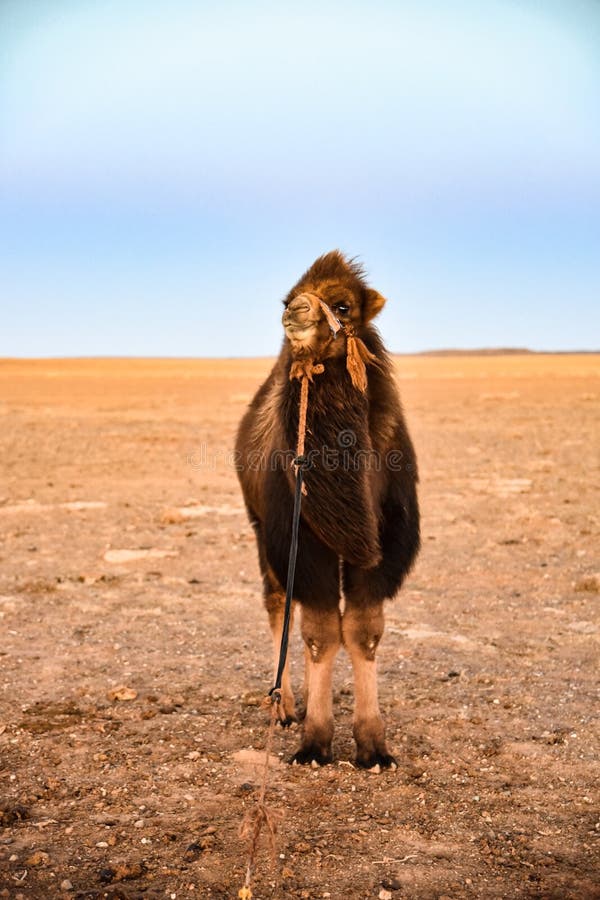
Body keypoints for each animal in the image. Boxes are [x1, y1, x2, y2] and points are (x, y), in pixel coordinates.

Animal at [235, 251, 420, 768]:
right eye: (287, 297)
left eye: (342, 305)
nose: (295, 312)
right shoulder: (301, 539)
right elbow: (320, 632)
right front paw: (314, 742)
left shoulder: (382, 541)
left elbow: (363, 630)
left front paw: (374, 747)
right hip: (260, 528)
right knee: (279, 603)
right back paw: (283, 706)